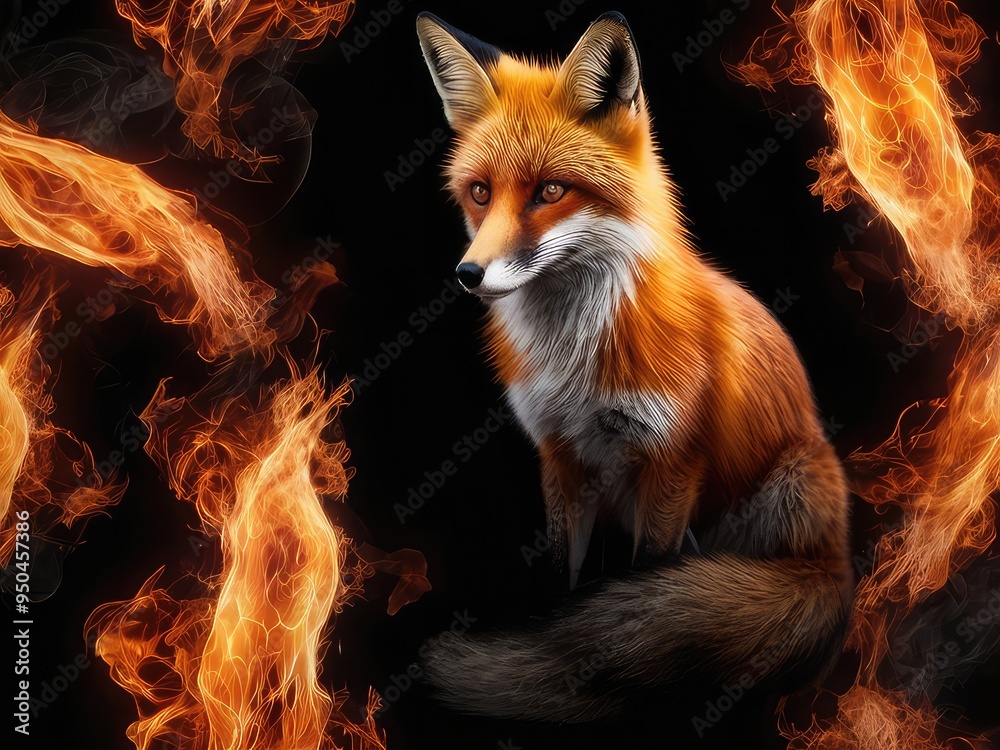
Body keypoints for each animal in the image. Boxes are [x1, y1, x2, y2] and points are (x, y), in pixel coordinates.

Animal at [415, 11, 853, 723]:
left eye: (551, 191)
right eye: (480, 193)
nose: (468, 274)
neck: (575, 360)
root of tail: (834, 571)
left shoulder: (673, 459)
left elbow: (647, 574)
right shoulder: (560, 455)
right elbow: (563, 575)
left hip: (784, 489)